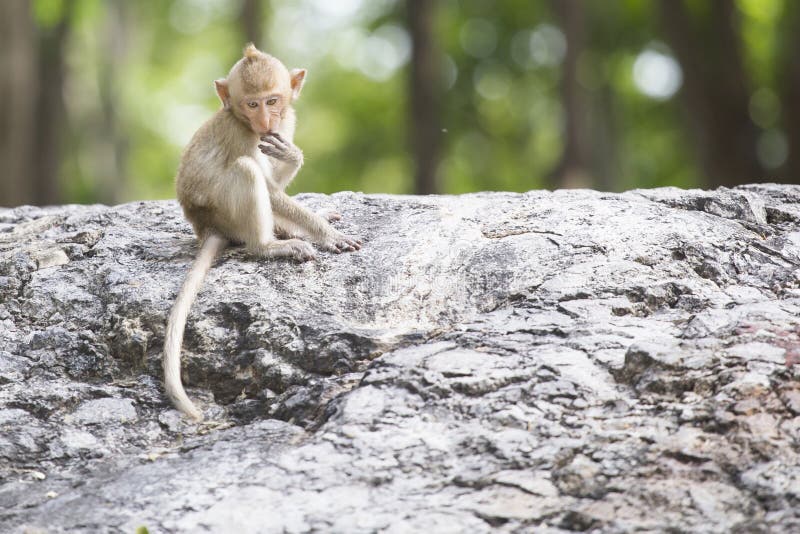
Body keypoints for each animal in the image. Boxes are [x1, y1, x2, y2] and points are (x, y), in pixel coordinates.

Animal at [163, 44, 361, 421]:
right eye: (251, 105)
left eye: (272, 101)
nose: (265, 122)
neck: (245, 122)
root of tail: (205, 226)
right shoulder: (243, 136)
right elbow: (268, 189)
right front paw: (328, 235)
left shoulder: (286, 124)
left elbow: (279, 173)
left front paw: (293, 157)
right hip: (228, 214)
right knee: (246, 171)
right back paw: (269, 246)